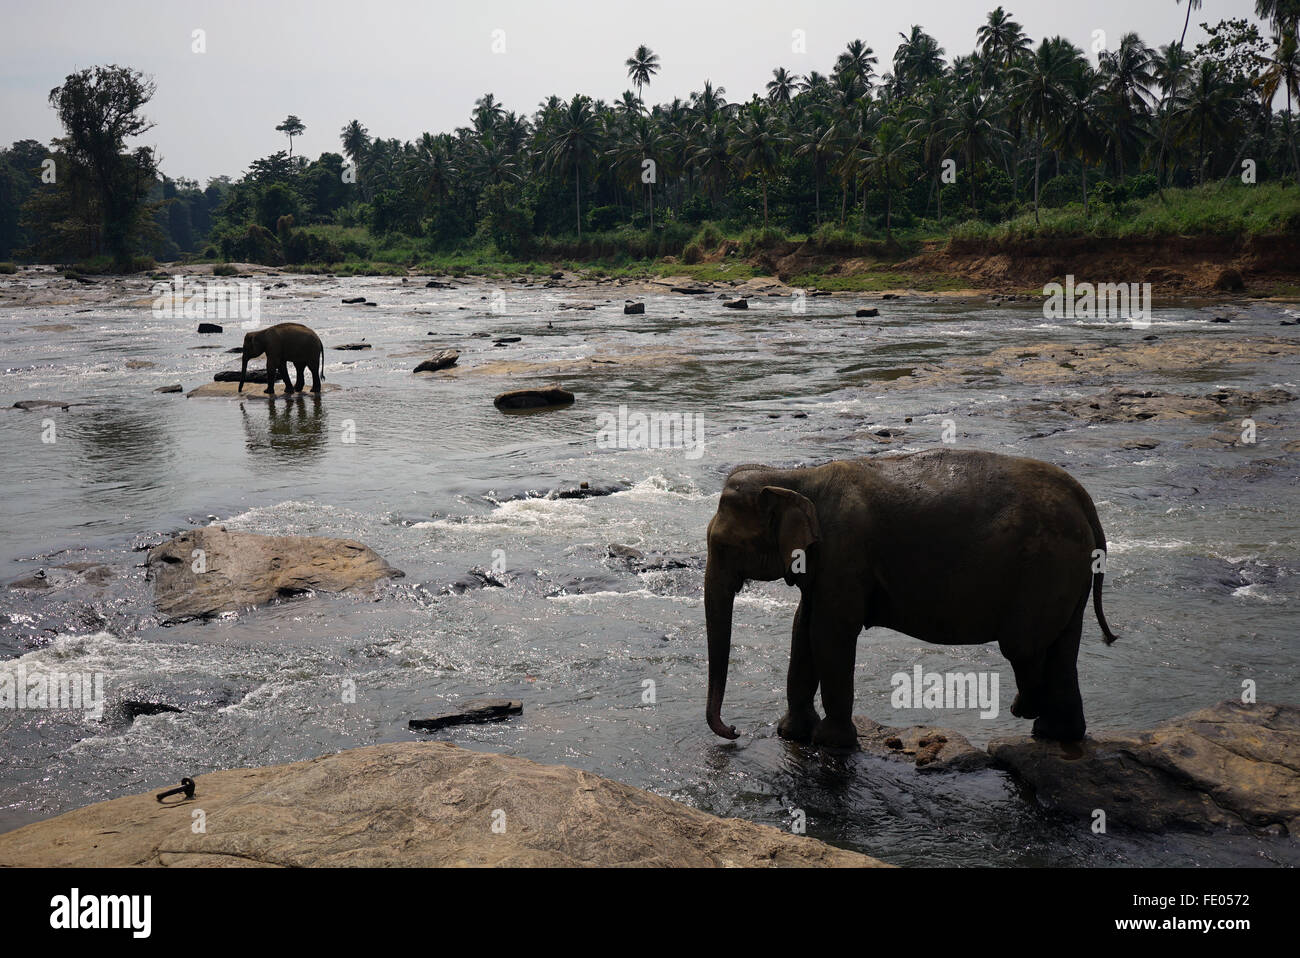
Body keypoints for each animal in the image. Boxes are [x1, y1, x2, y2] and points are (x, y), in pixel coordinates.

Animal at [703, 449, 1118, 749]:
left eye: (723, 546)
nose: (735, 731)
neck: (795, 478)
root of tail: (1085, 502)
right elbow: (802, 629)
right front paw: (791, 734)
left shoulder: (845, 552)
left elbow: (829, 632)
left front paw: (831, 743)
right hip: (1069, 571)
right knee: (1062, 645)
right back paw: (1055, 734)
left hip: (1046, 565)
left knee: (1023, 644)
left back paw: (1026, 711)